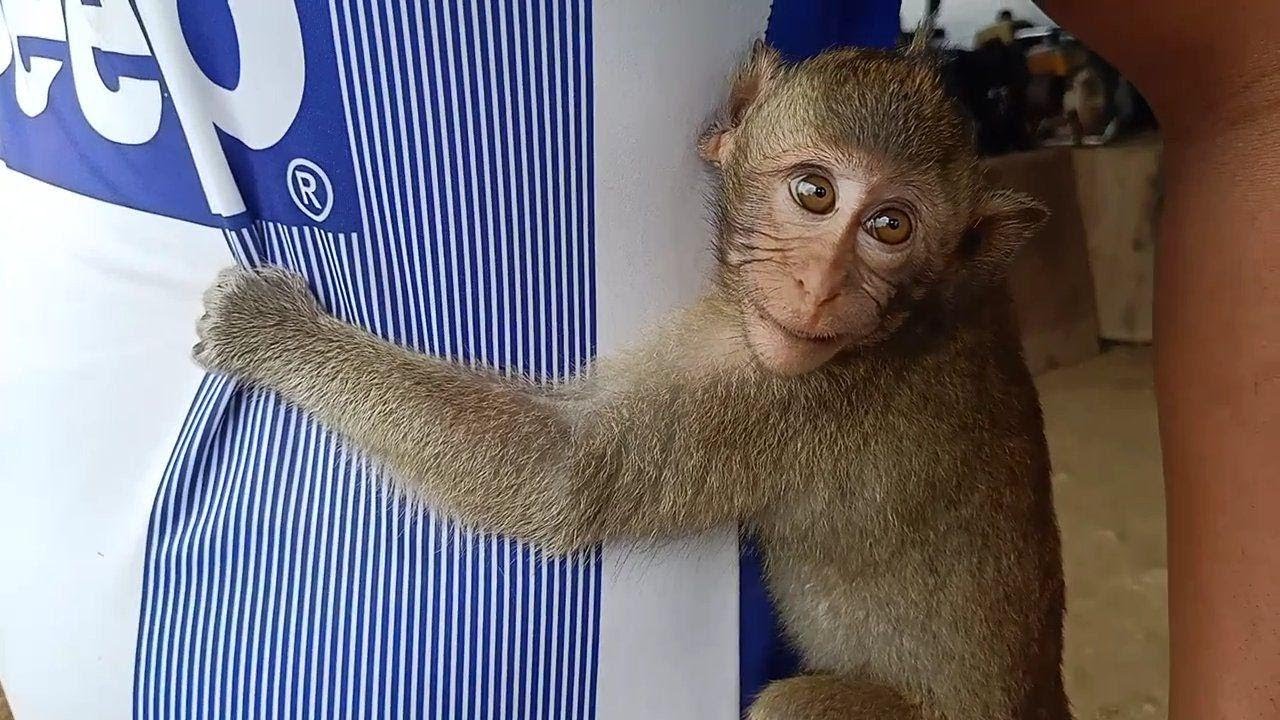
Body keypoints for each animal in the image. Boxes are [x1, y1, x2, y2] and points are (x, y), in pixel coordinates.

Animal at [193, 36, 1068, 720]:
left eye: (890, 226)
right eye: (815, 192)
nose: (821, 287)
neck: (911, 319)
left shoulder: (778, 386)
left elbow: (563, 472)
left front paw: (272, 333)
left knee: (789, 706)